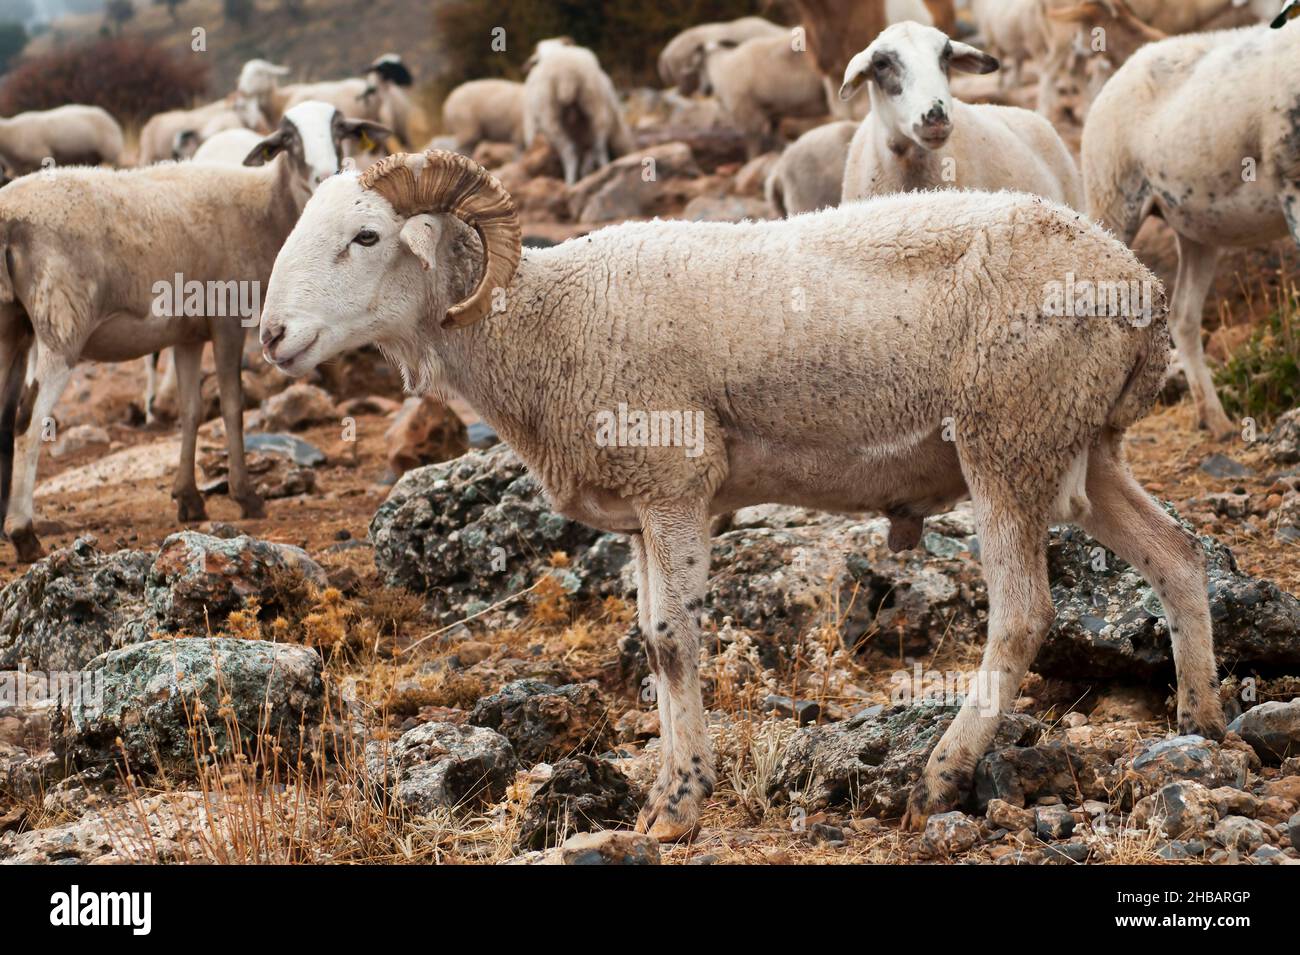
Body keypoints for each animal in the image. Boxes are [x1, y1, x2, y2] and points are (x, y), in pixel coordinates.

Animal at [0, 102, 388, 561]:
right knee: (28, 421)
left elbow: (191, 410)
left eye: (340, 130)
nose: (324, 175)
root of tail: (8, 219)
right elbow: (232, 406)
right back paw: (23, 533)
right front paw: (245, 495)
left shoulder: (186, 335)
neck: (263, 207)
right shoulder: (227, 319)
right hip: (61, 327)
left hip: (11, 329)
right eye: (289, 140)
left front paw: (189, 499)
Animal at [256, 149, 1225, 839]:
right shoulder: (642, 510)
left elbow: (673, 640)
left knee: (1022, 613)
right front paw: (665, 790)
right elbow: (651, 644)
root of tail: (1136, 285)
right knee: (1178, 555)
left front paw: (680, 803)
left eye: (367, 238)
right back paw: (1203, 725)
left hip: (1008, 439)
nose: (270, 335)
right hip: (1079, 448)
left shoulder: (676, 480)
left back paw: (941, 775)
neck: (543, 321)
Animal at [522, 38, 633, 185]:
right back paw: (604, 169)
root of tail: (566, 73)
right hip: (596, 106)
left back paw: (570, 182)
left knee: (569, 153)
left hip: (550, 118)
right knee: (598, 147)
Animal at [694, 33, 828, 158]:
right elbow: (775, 139)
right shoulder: (774, 113)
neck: (722, 68)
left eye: (700, 65)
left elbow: (753, 149)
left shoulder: (749, 116)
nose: (704, 90)